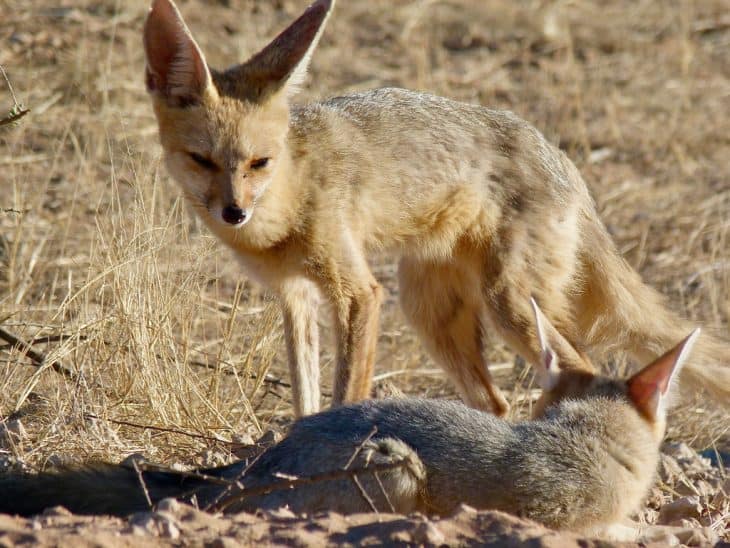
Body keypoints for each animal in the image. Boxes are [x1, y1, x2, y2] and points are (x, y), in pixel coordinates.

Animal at [0, 301, 701, 542]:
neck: (583, 435)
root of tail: (253, 461)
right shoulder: (567, 519)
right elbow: (630, 532)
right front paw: (665, 532)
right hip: (396, 467)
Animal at [143, 0, 730, 417]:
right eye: (201, 160)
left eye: (259, 162)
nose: (233, 213)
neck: (286, 202)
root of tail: (564, 161)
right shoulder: (295, 297)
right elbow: (304, 398)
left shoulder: (359, 293)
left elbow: (345, 392)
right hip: (430, 314)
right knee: (497, 403)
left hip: (504, 305)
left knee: (579, 365)